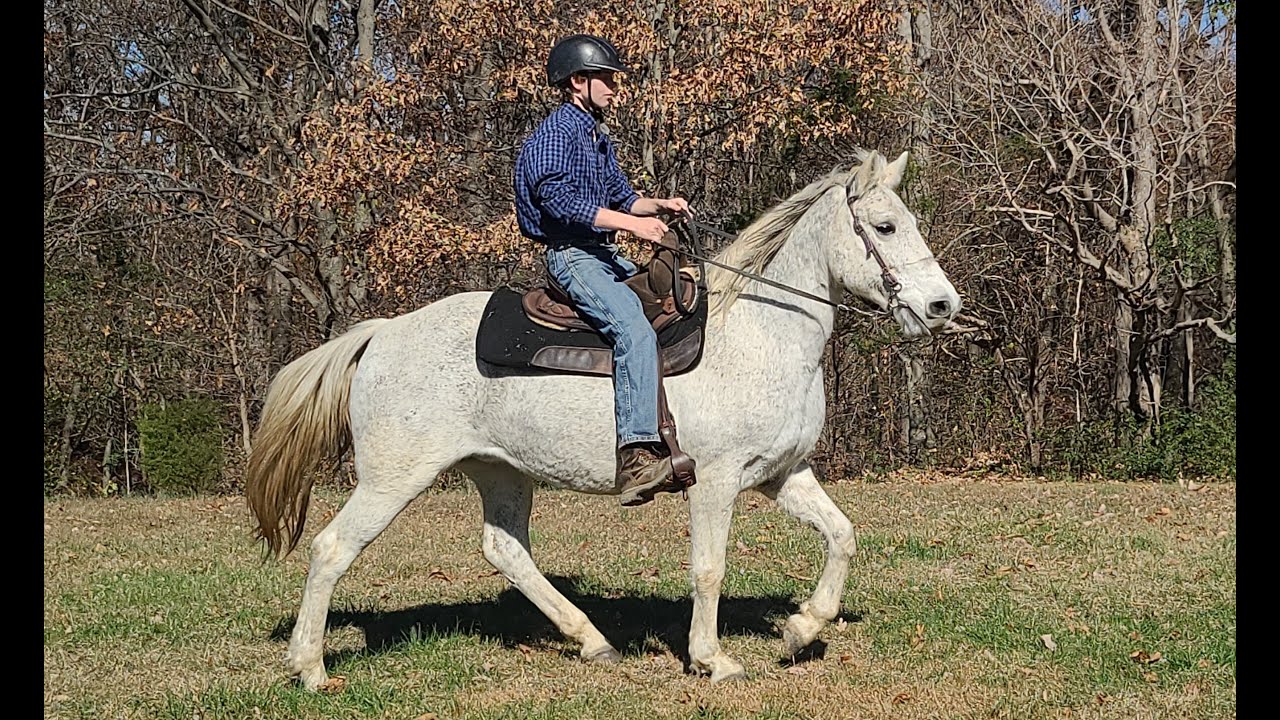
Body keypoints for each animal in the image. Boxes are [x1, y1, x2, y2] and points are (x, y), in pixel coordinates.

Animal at [245, 148, 962, 689]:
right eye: (886, 227)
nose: (942, 305)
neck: (760, 330)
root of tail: (382, 334)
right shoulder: (717, 481)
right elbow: (709, 568)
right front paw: (713, 660)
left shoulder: (781, 473)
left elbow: (842, 535)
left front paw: (800, 630)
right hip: (394, 477)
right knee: (333, 549)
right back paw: (310, 668)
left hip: (500, 471)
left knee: (506, 550)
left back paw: (590, 640)